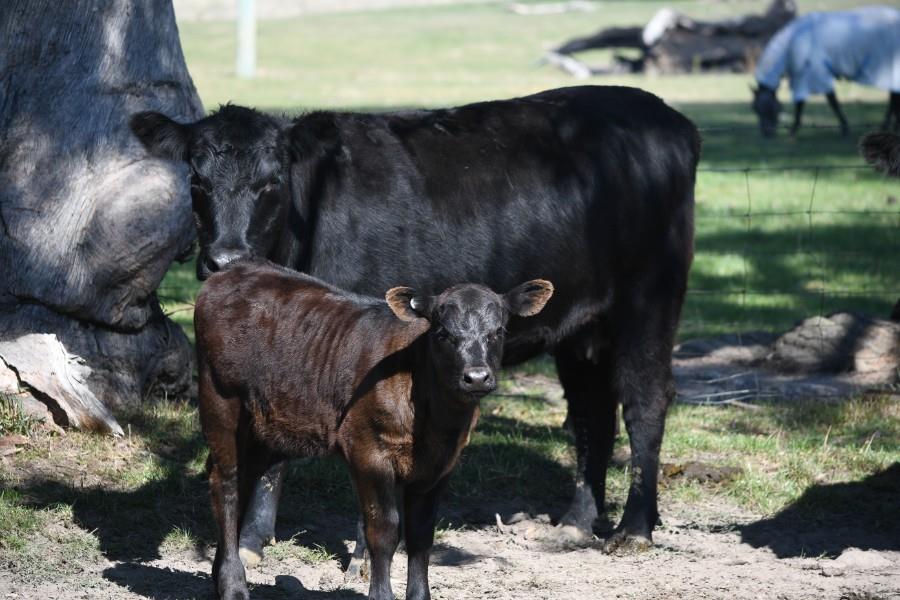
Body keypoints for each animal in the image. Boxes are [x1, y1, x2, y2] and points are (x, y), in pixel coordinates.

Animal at [131, 85, 700, 563]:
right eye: (197, 180)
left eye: (271, 182)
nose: (224, 260)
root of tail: (667, 117)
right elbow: (275, 440)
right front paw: (252, 541)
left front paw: (364, 551)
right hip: (581, 326)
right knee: (590, 409)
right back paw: (577, 522)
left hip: (649, 301)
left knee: (645, 401)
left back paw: (634, 528)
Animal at [196, 259, 553, 600]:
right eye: (442, 333)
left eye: (499, 331)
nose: (476, 377)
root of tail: (235, 269)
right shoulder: (369, 452)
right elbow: (384, 531)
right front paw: (381, 593)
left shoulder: (441, 466)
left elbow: (421, 535)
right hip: (220, 398)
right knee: (225, 484)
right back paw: (234, 585)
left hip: (265, 427)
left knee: (243, 478)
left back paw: (220, 575)